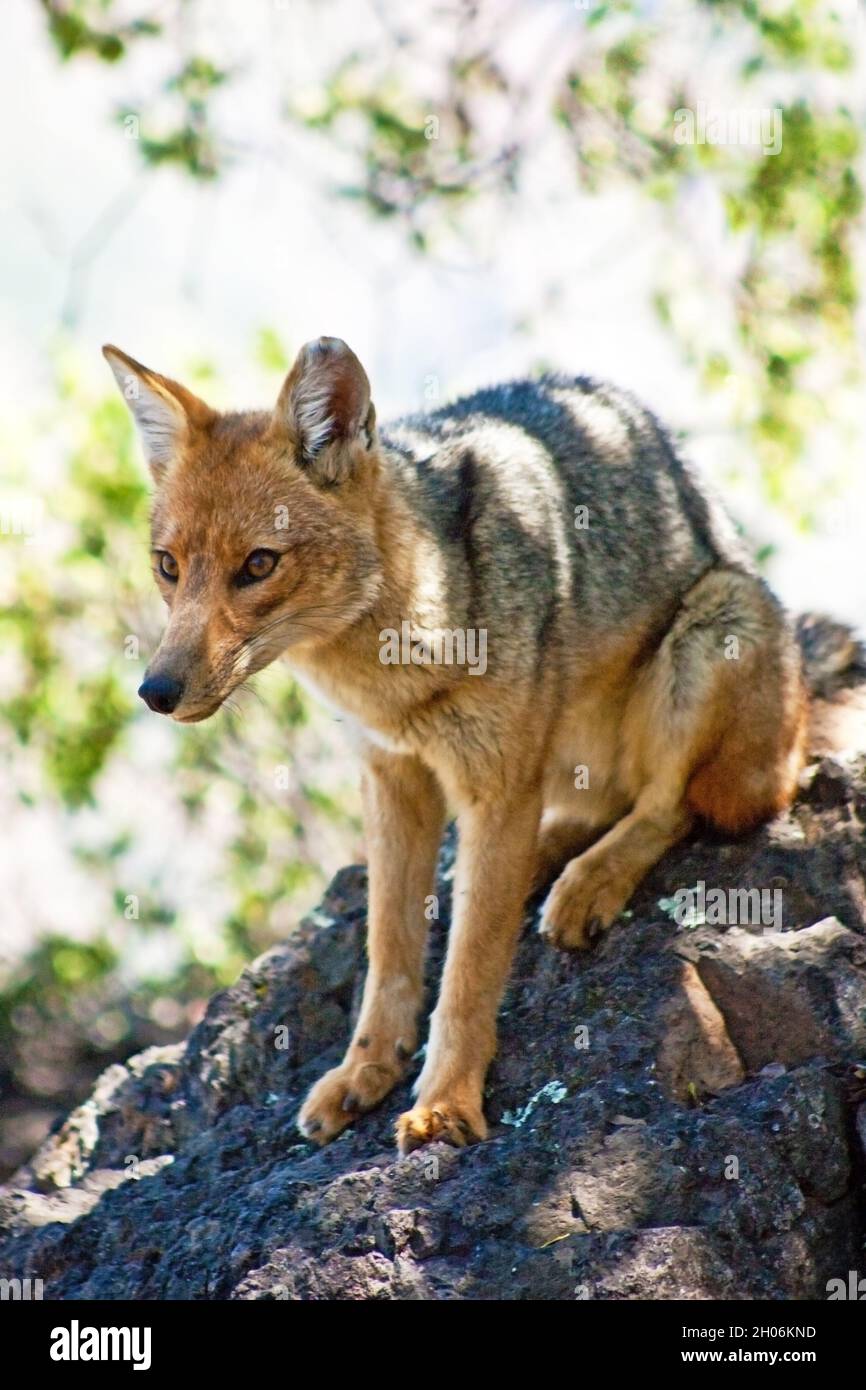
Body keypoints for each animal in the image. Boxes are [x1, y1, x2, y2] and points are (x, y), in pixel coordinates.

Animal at [104, 335, 865, 1155]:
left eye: (258, 564)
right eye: (168, 567)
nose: (155, 691)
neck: (397, 661)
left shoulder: (494, 785)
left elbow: (467, 975)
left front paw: (445, 1104)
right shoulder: (393, 780)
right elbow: (390, 951)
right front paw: (366, 1071)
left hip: (710, 629)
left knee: (672, 807)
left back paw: (585, 883)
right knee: (588, 817)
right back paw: (544, 858)